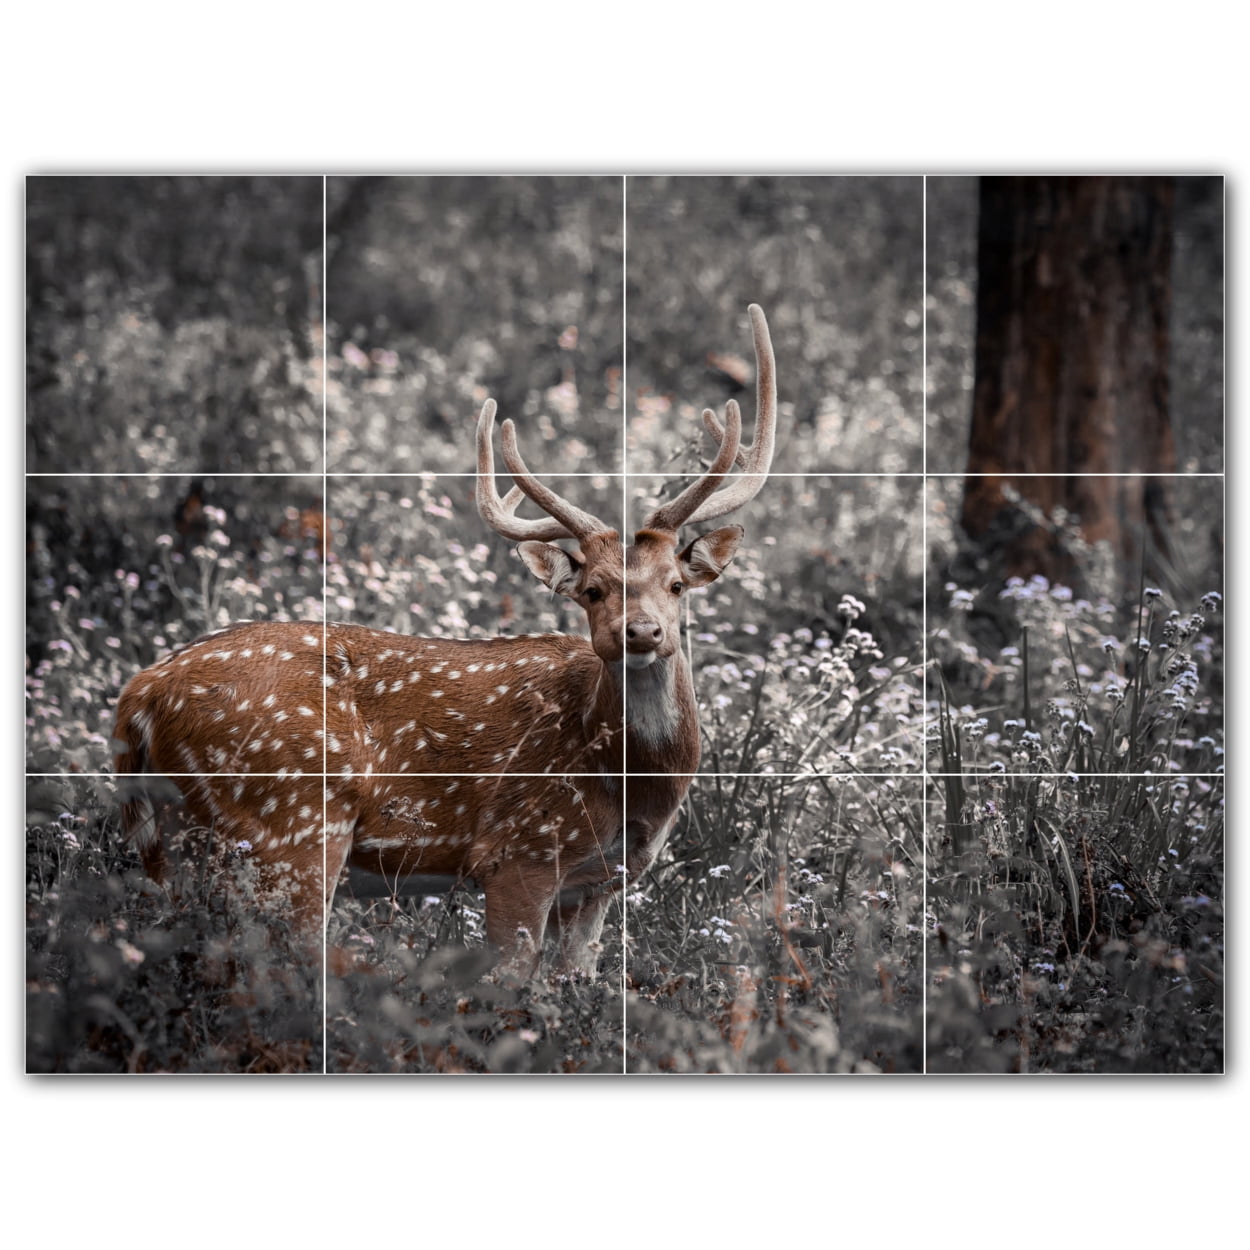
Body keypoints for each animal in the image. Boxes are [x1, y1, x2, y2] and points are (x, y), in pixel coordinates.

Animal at [112, 304, 777, 977]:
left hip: (181, 837)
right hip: (292, 823)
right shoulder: (520, 853)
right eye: (592, 590)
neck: (629, 787)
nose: (640, 631)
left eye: (676, 584)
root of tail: (142, 693)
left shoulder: (598, 883)